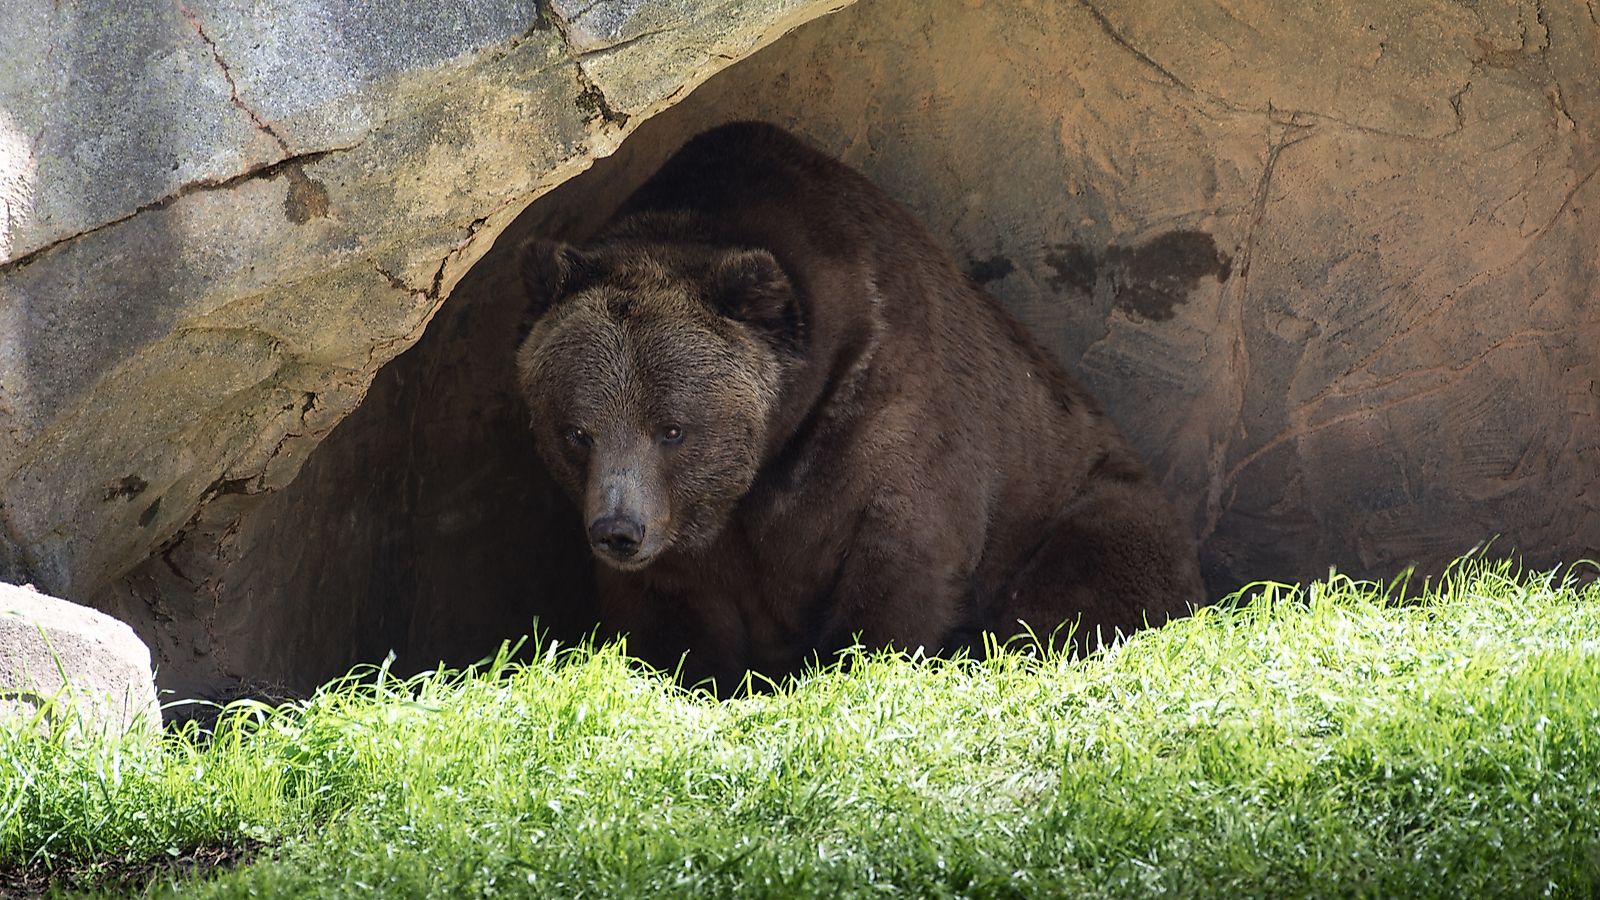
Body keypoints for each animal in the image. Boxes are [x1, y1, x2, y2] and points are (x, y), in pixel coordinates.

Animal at [514, 122, 1205, 689]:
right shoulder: (684, 535)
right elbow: (666, 615)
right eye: (576, 432)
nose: (618, 530)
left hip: (1087, 493)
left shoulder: (885, 409)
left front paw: (858, 661)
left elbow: (902, 556)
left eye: (673, 429)